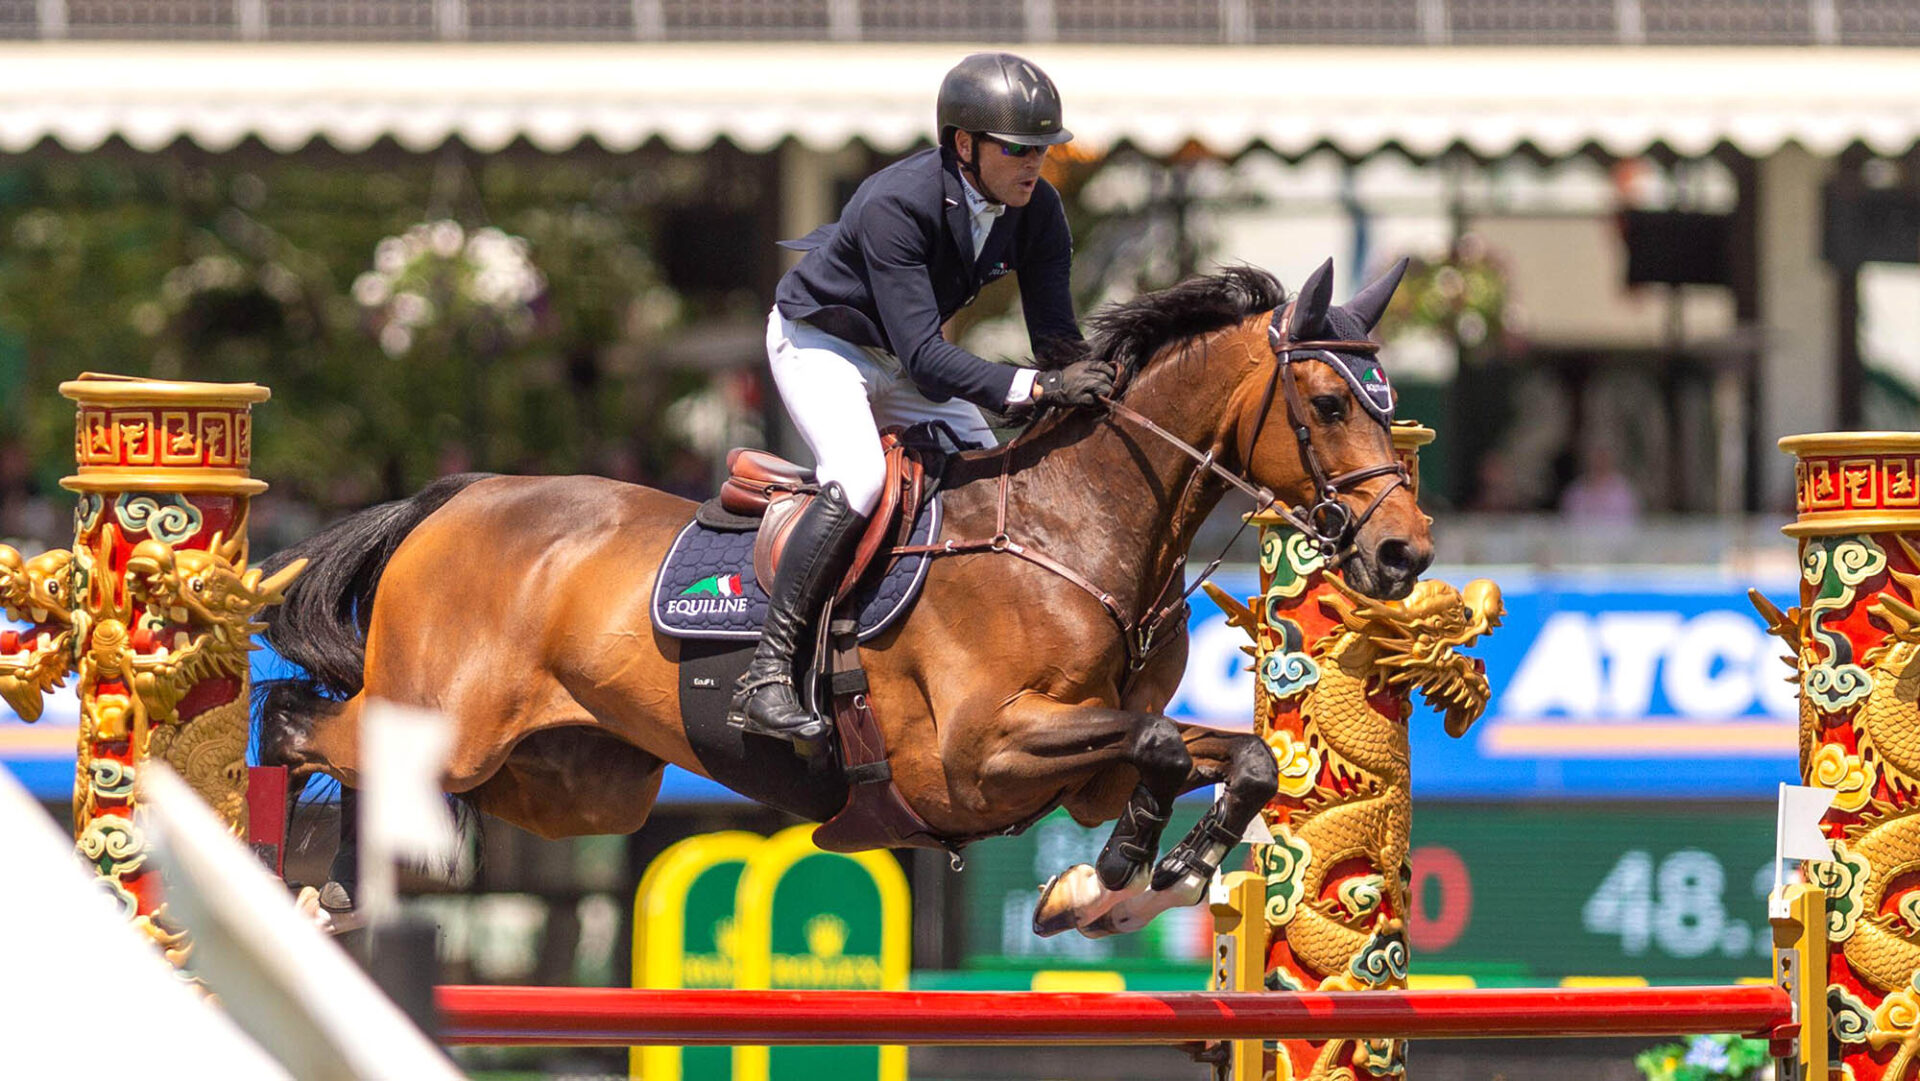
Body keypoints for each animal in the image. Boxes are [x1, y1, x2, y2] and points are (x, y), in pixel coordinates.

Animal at [257, 258, 1433, 938]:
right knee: (303, 722)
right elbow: (1154, 745)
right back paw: (300, 869)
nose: (1404, 554)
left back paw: (335, 890)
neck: (1077, 530)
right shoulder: (974, 755)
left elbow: (1239, 756)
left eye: (1393, 403)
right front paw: (1118, 879)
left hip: (573, 783)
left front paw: (1144, 878)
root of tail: (457, 495)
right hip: (449, 726)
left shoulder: (1081, 769)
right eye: (1329, 401)